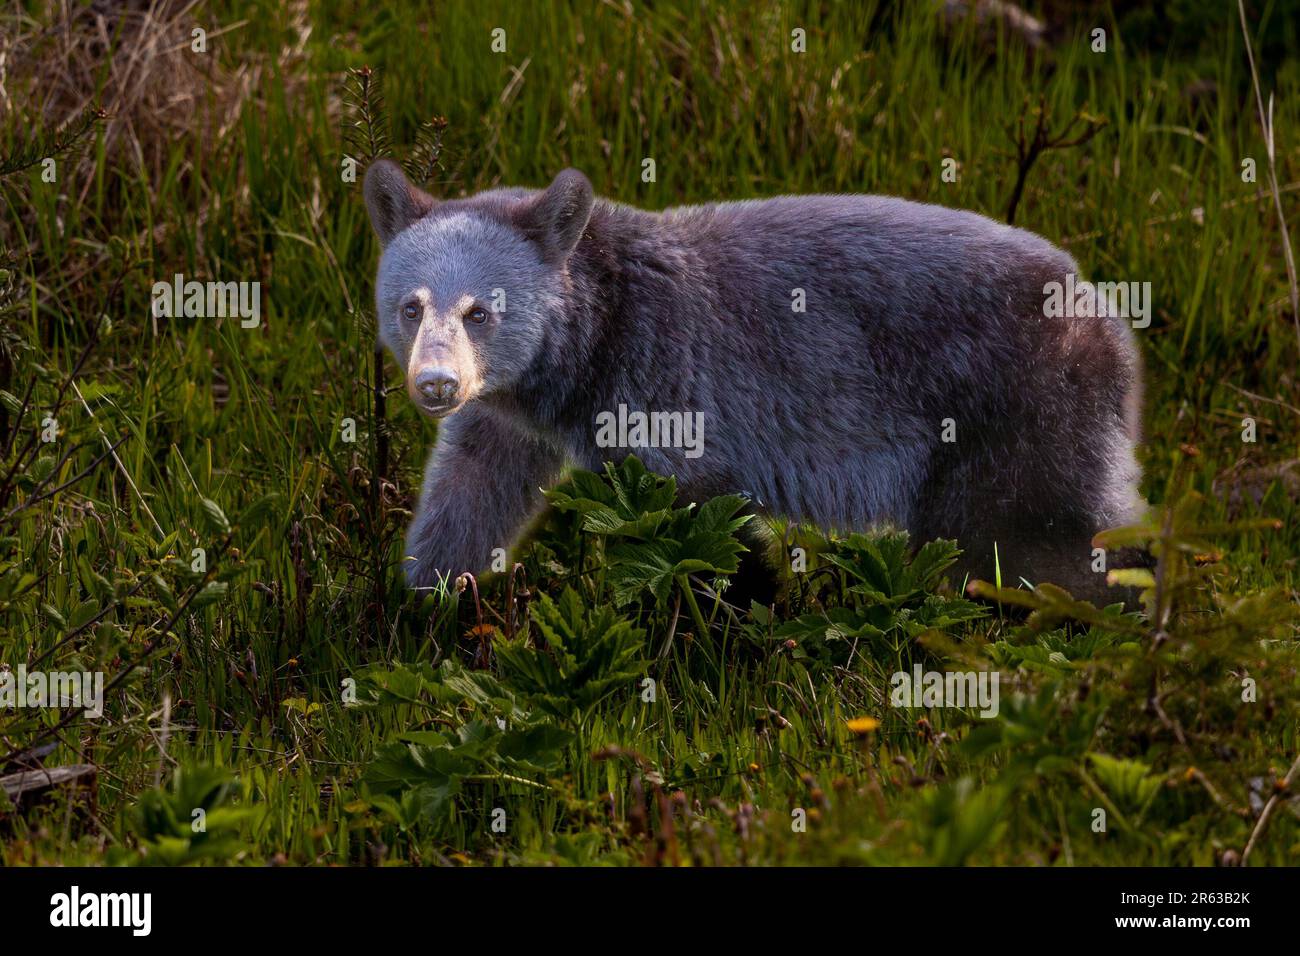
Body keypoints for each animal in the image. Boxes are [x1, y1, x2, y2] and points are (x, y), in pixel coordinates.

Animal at [363, 160, 1145, 606]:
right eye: (412, 305)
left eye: (480, 310)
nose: (436, 384)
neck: (591, 337)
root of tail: (1106, 318)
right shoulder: (509, 406)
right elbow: (472, 486)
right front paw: (427, 600)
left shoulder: (664, 375)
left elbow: (700, 524)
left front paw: (742, 621)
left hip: (1013, 409)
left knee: (1029, 541)